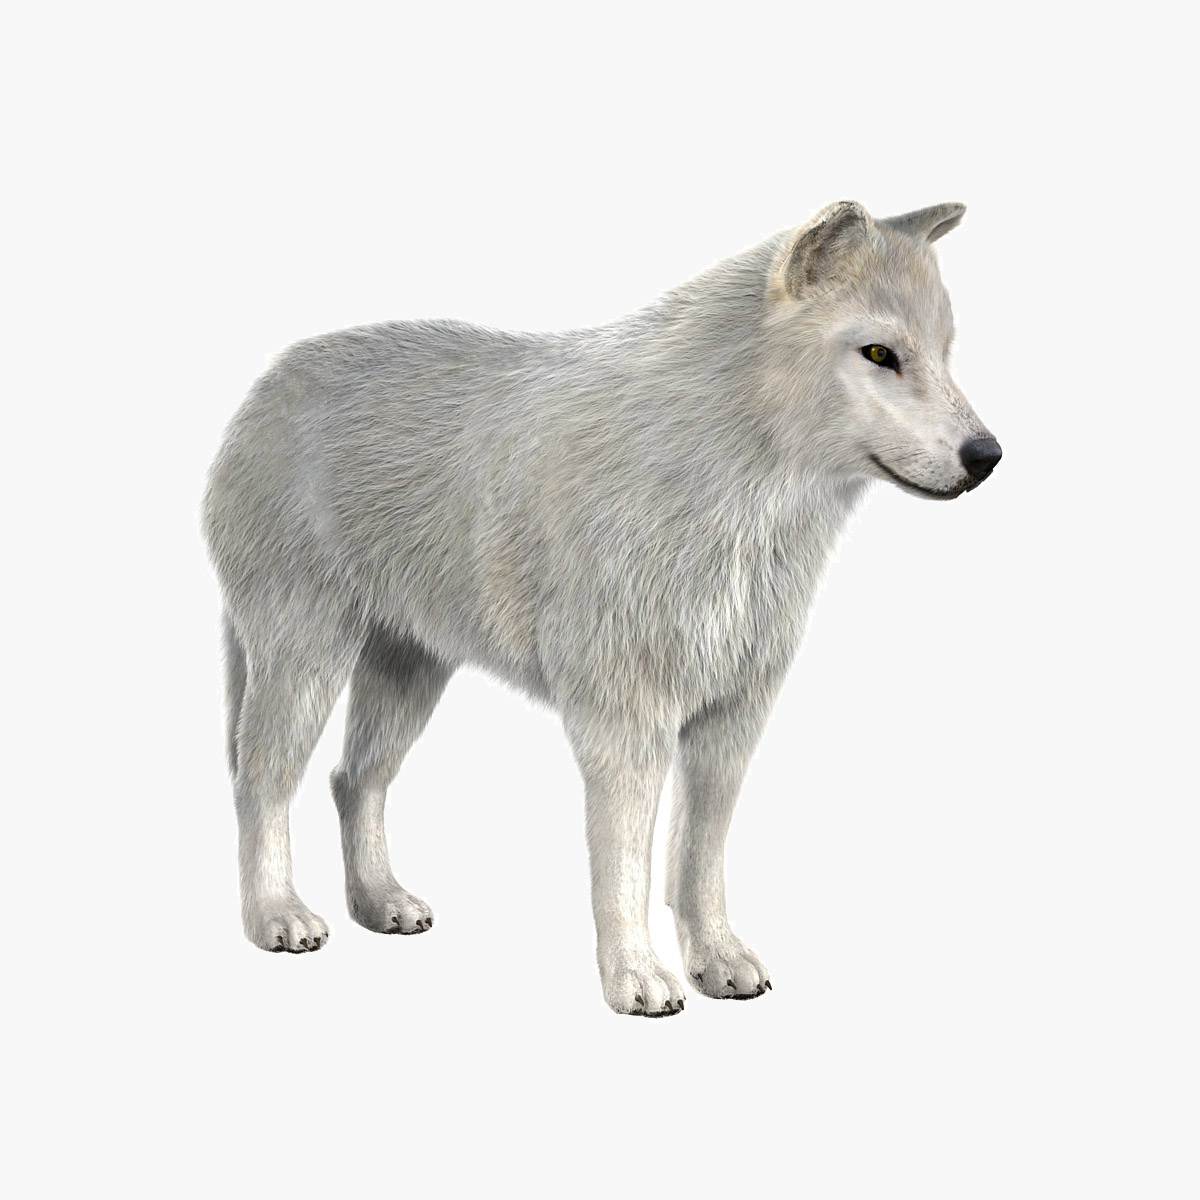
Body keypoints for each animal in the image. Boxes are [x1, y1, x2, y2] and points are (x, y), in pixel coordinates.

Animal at [202, 200, 1001, 1016]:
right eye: (879, 353)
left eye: (944, 353)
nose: (987, 456)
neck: (729, 491)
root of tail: (269, 382)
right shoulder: (624, 723)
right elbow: (625, 868)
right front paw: (639, 980)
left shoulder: (731, 721)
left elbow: (698, 859)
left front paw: (717, 960)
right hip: (306, 658)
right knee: (261, 779)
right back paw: (277, 916)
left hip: (409, 670)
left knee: (353, 778)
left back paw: (381, 903)